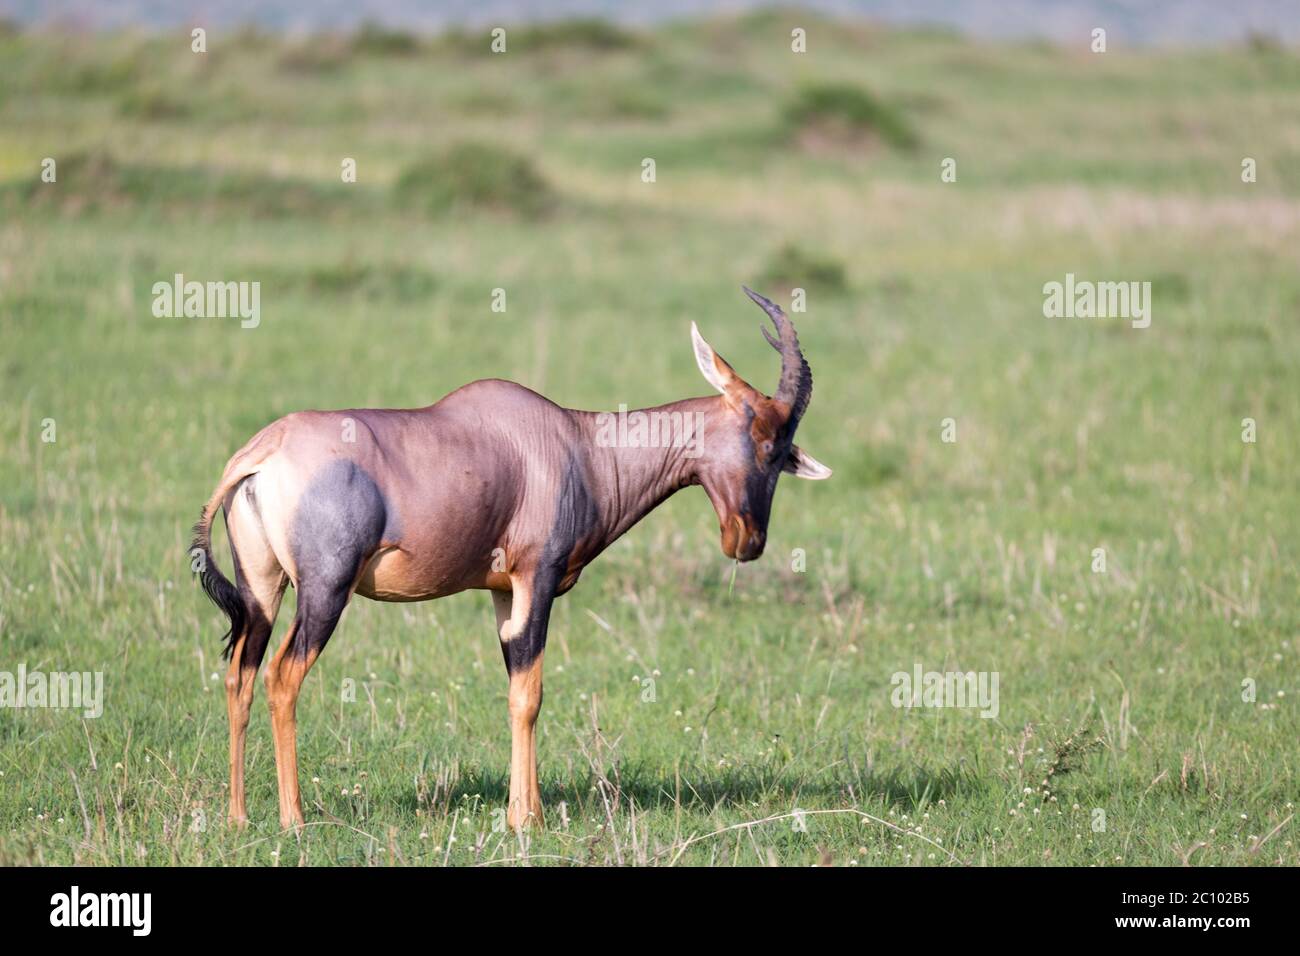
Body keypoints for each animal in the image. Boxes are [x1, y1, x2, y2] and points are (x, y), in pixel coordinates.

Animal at [192, 287, 831, 830]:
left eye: (785, 454)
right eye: (764, 441)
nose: (748, 541)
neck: (573, 441)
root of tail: (261, 452)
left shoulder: (502, 591)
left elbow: (514, 687)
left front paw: (524, 811)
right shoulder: (536, 578)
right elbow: (531, 694)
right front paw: (528, 820)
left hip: (261, 591)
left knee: (239, 676)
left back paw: (239, 818)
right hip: (326, 590)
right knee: (282, 677)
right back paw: (293, 821)